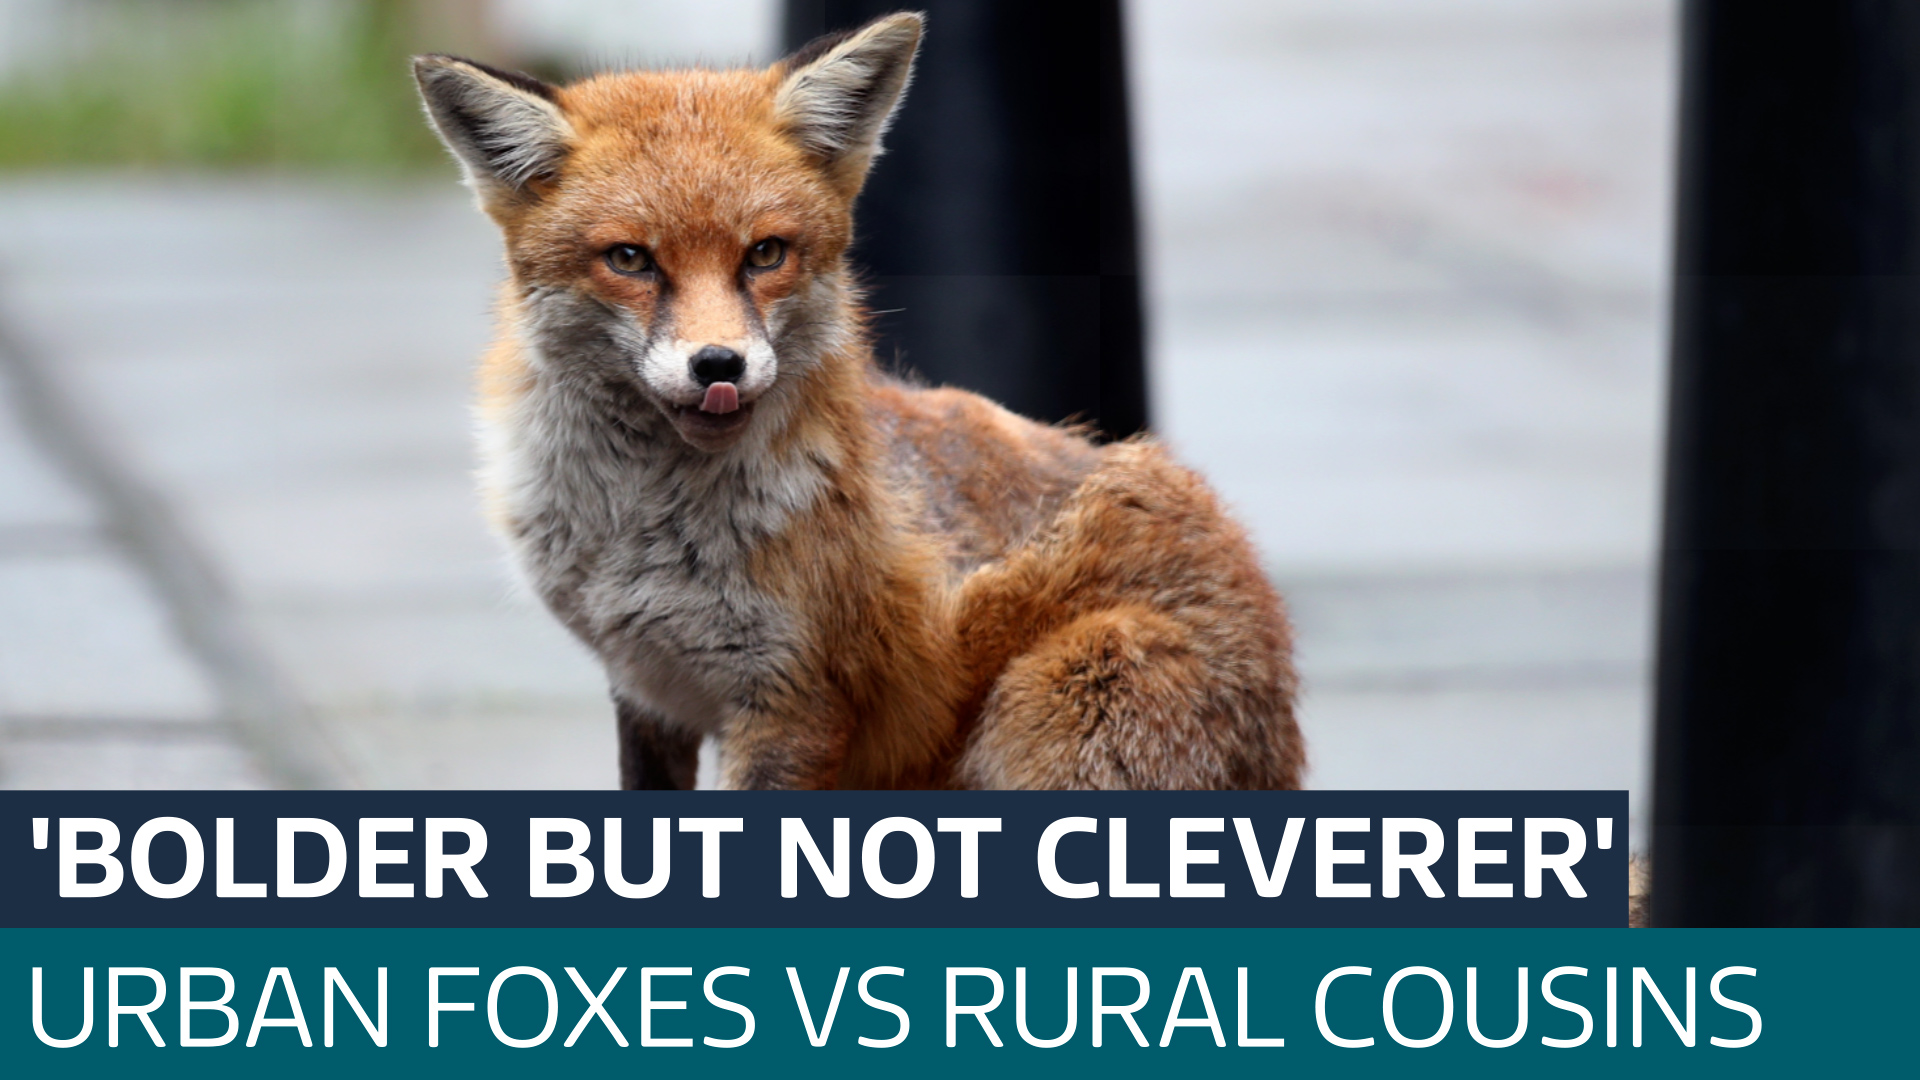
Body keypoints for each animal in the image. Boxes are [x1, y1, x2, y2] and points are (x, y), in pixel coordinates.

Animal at [412, 11, 1303, 791]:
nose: (718, 364)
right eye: (630, 259)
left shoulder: (796, 699)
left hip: (1057, 702)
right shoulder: (645, 688)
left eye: (766, 253)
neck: (638, 534)